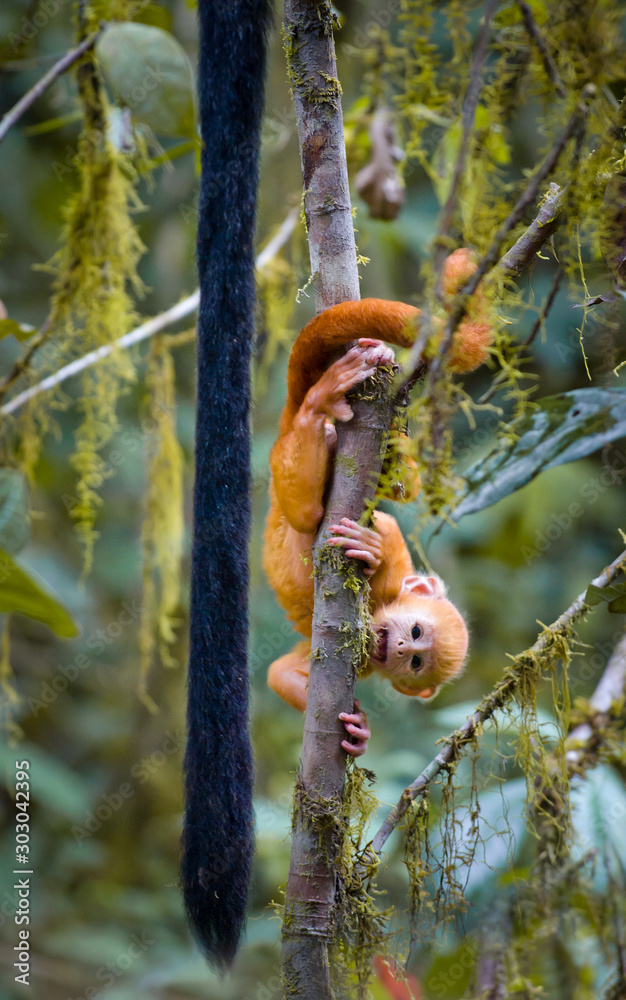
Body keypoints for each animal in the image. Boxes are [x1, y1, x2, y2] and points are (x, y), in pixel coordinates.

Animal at [263, 250, 493, 755]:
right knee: (307, 513)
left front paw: (360, 733)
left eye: (417, 663)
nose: (403, 649)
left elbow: (281, 674)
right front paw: (371, 550)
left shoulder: (368, 662)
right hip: (285, 499)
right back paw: (319, 405)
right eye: (416, 632)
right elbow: (386, 528)